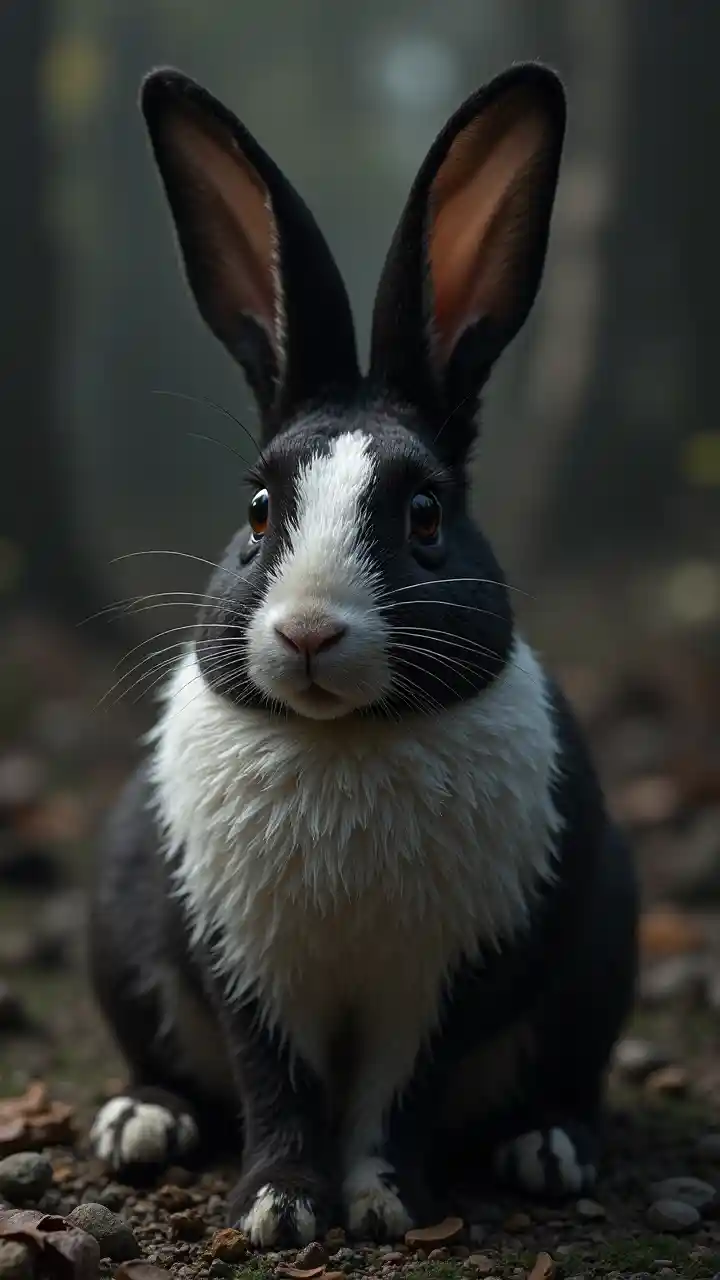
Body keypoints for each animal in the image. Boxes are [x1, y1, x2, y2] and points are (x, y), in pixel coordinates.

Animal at [87, 62, 638, 1246]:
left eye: (424, 516)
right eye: (257, 509)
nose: (307, 631)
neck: (338, 738)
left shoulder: (442, 978)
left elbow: (398, 1092)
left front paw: (386, 1206)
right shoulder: (244, 962)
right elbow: (277, 1083)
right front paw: (281, 1210)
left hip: (599, 950)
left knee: (561, 1081)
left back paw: (549, 1150)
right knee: (176, 1070)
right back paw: (138, 1124)